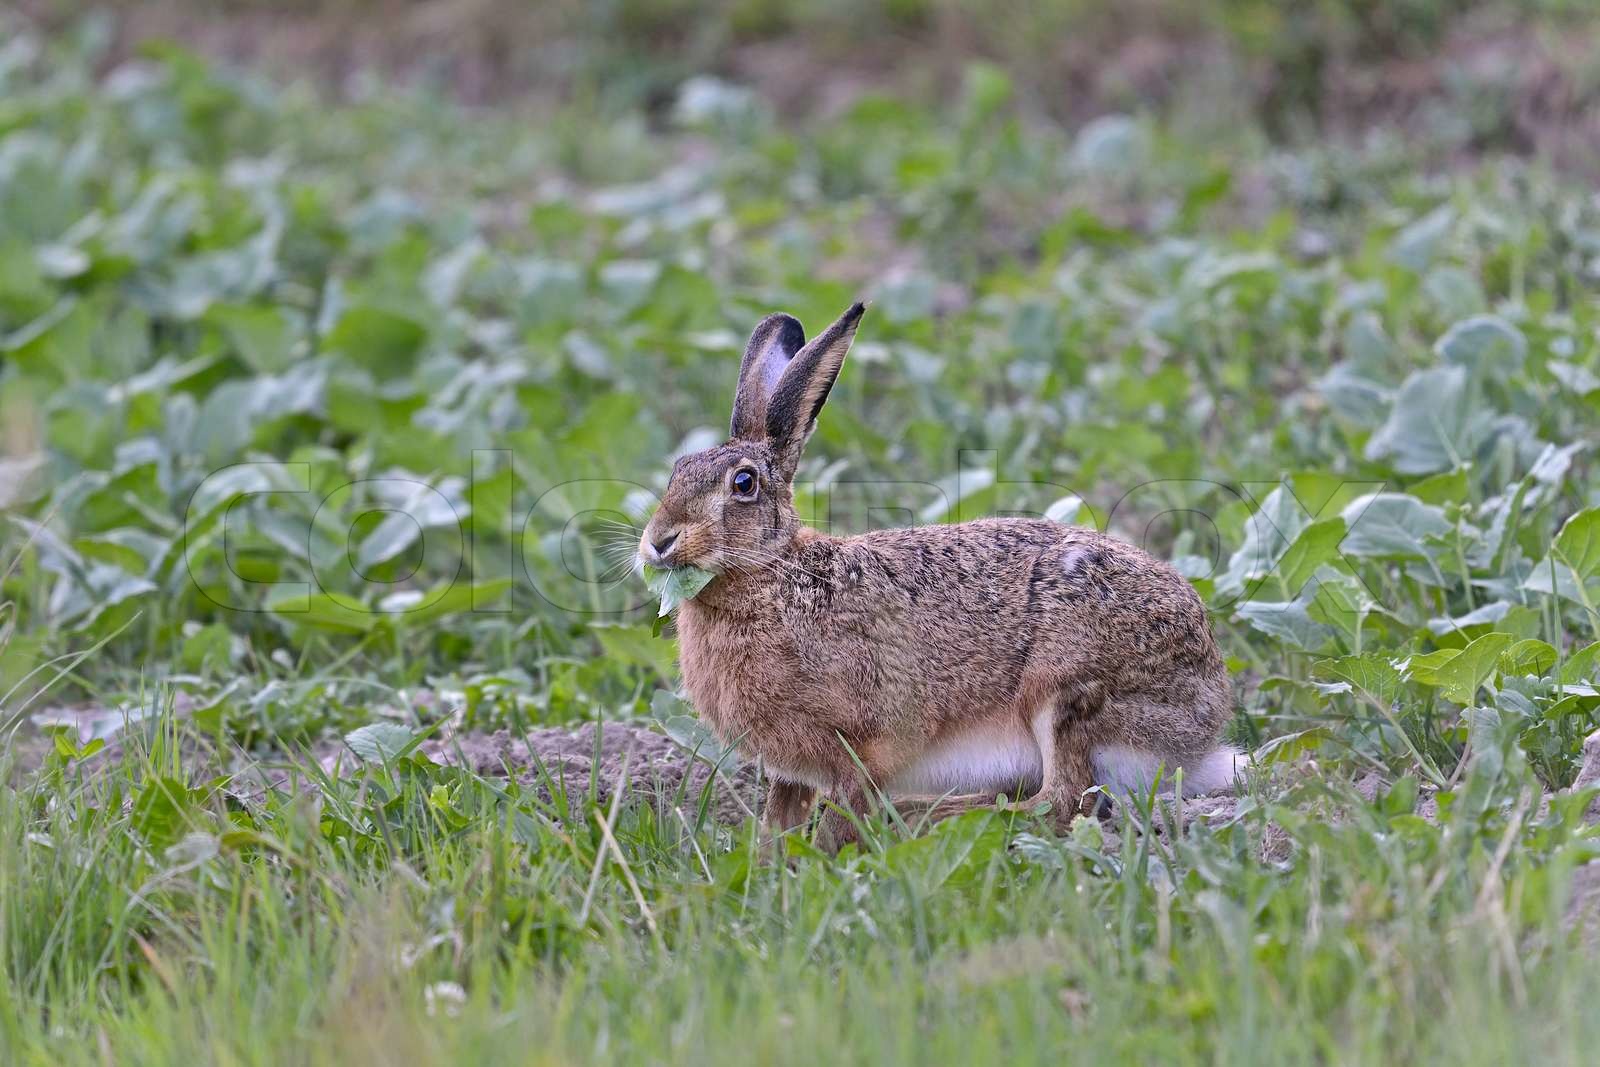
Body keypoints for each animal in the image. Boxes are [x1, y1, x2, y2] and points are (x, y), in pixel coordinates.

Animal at [638, 302, 1240, 847]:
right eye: (677, 470)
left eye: (743, 484)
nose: (658, 541)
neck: (772, 573)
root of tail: (1203, 722)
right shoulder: (792, 772)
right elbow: (778, 821)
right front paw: (771, 862)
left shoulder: (862, 745)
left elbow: (843, 812)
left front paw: (826, 853)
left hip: (1067, 689)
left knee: (1063, 800)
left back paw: (924, 817)